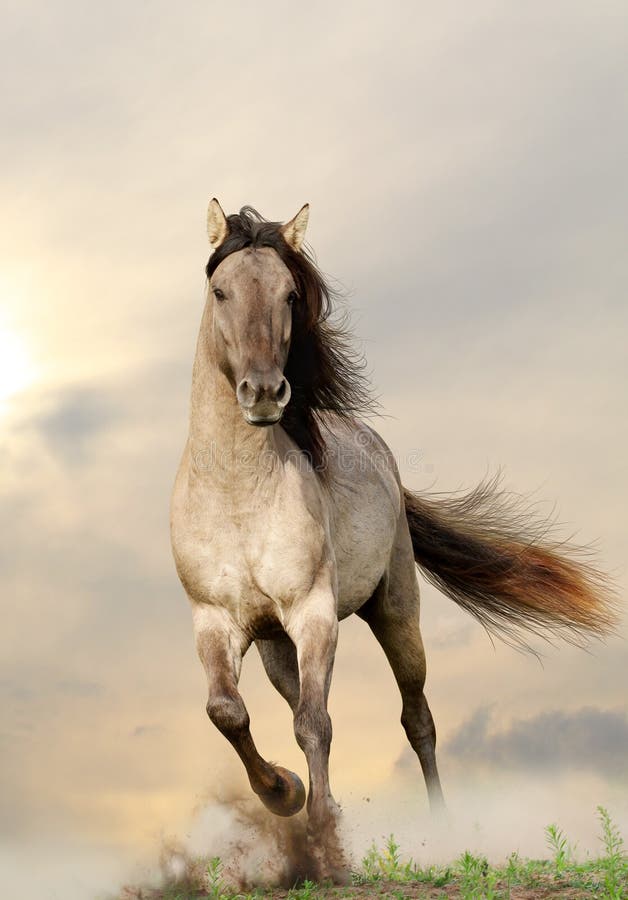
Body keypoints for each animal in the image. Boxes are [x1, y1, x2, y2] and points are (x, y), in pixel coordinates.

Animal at [170, 200, 615, 875]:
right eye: (220, 291)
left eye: (290, 294)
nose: (265, 393)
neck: (235, 493)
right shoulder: (215, 620)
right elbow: (229, 712)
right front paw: (283, 793)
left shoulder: (314, 613)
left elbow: (315, 724)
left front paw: (326, 844)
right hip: (275, 644)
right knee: (294, 703)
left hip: (395, 611)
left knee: (416, 718)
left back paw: (444, 830)